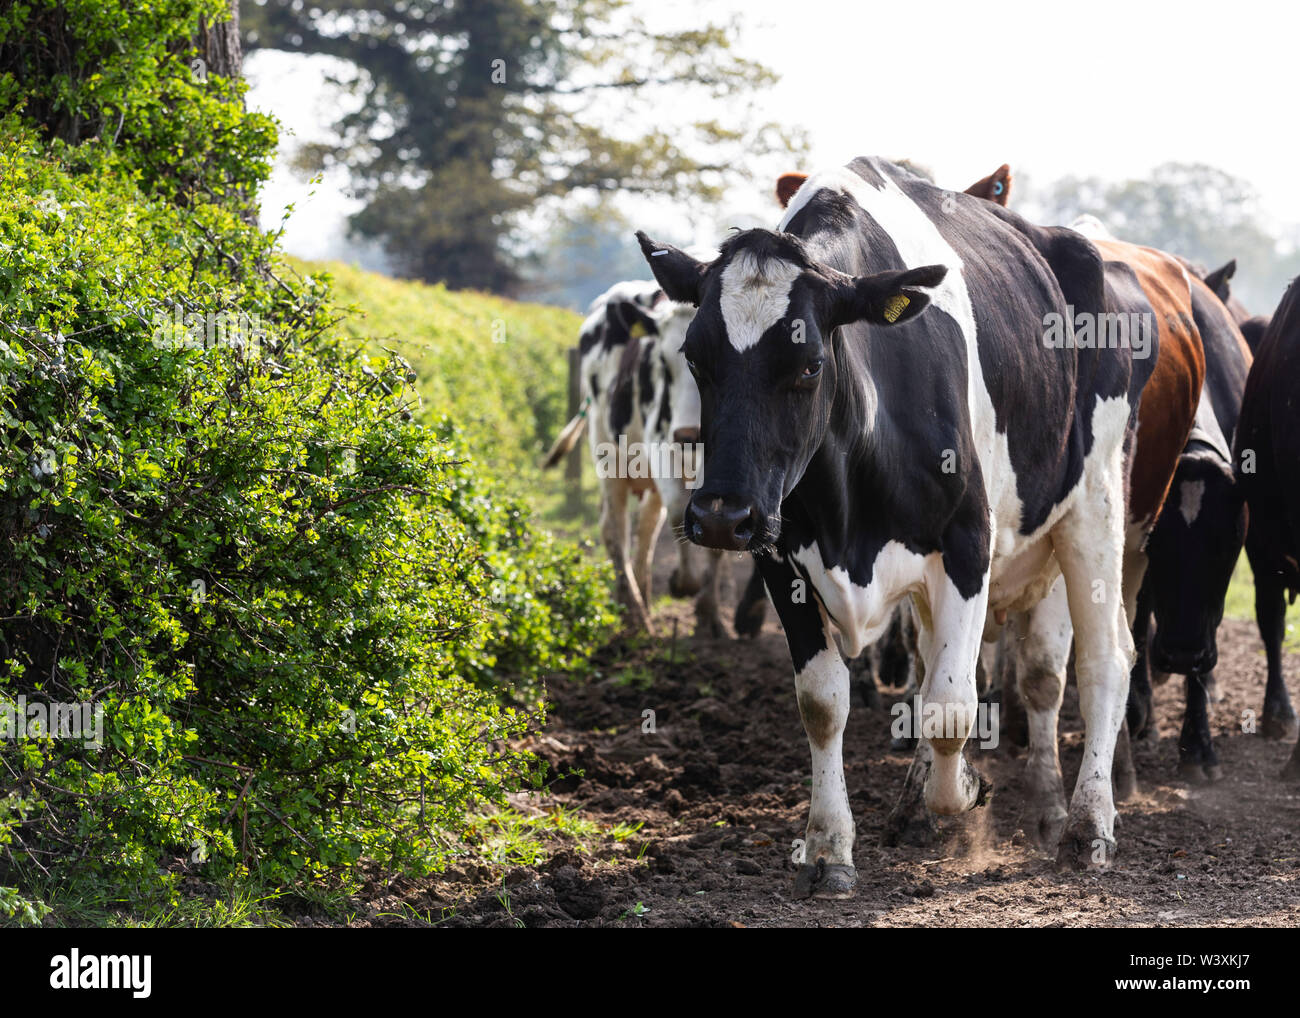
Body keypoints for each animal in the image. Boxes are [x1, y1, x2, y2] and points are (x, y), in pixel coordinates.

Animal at [542, 282, 725, 636]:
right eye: (663, 363)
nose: (689, 434)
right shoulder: (660, 445)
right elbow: (678, 510)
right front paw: (684, 583)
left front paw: (709, 614)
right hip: (608, 455)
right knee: (614, 529)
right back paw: (633, 612)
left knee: (644, 529)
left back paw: (643, 597)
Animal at [636, 156, 1186, 894]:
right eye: (697, 359)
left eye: (809, 365)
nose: (721, 515)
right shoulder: (781, 556)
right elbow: (825, 701)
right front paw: (831, 846)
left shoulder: (968, 543)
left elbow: (951, 705)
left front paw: (966, 790)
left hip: (1096, 508)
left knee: (1102, 659)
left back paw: (1087, 823)